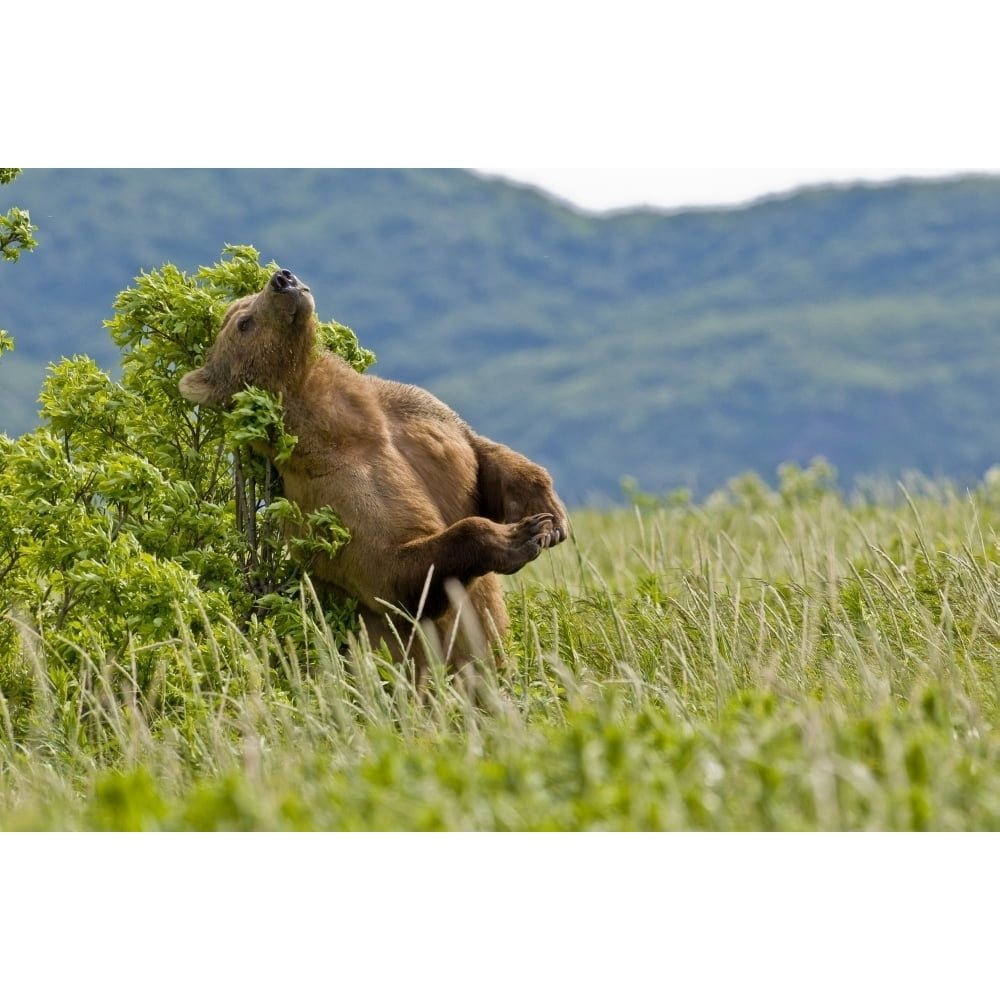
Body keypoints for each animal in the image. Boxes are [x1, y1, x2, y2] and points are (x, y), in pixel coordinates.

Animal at [179, 267, 568, 679]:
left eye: (246, 304)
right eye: (244, 322)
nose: (282, 279)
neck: (348, 426)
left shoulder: (418, 418)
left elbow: (482, 456)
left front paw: (546, 517)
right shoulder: (336, 496)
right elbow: (390, 572)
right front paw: (517, 537)